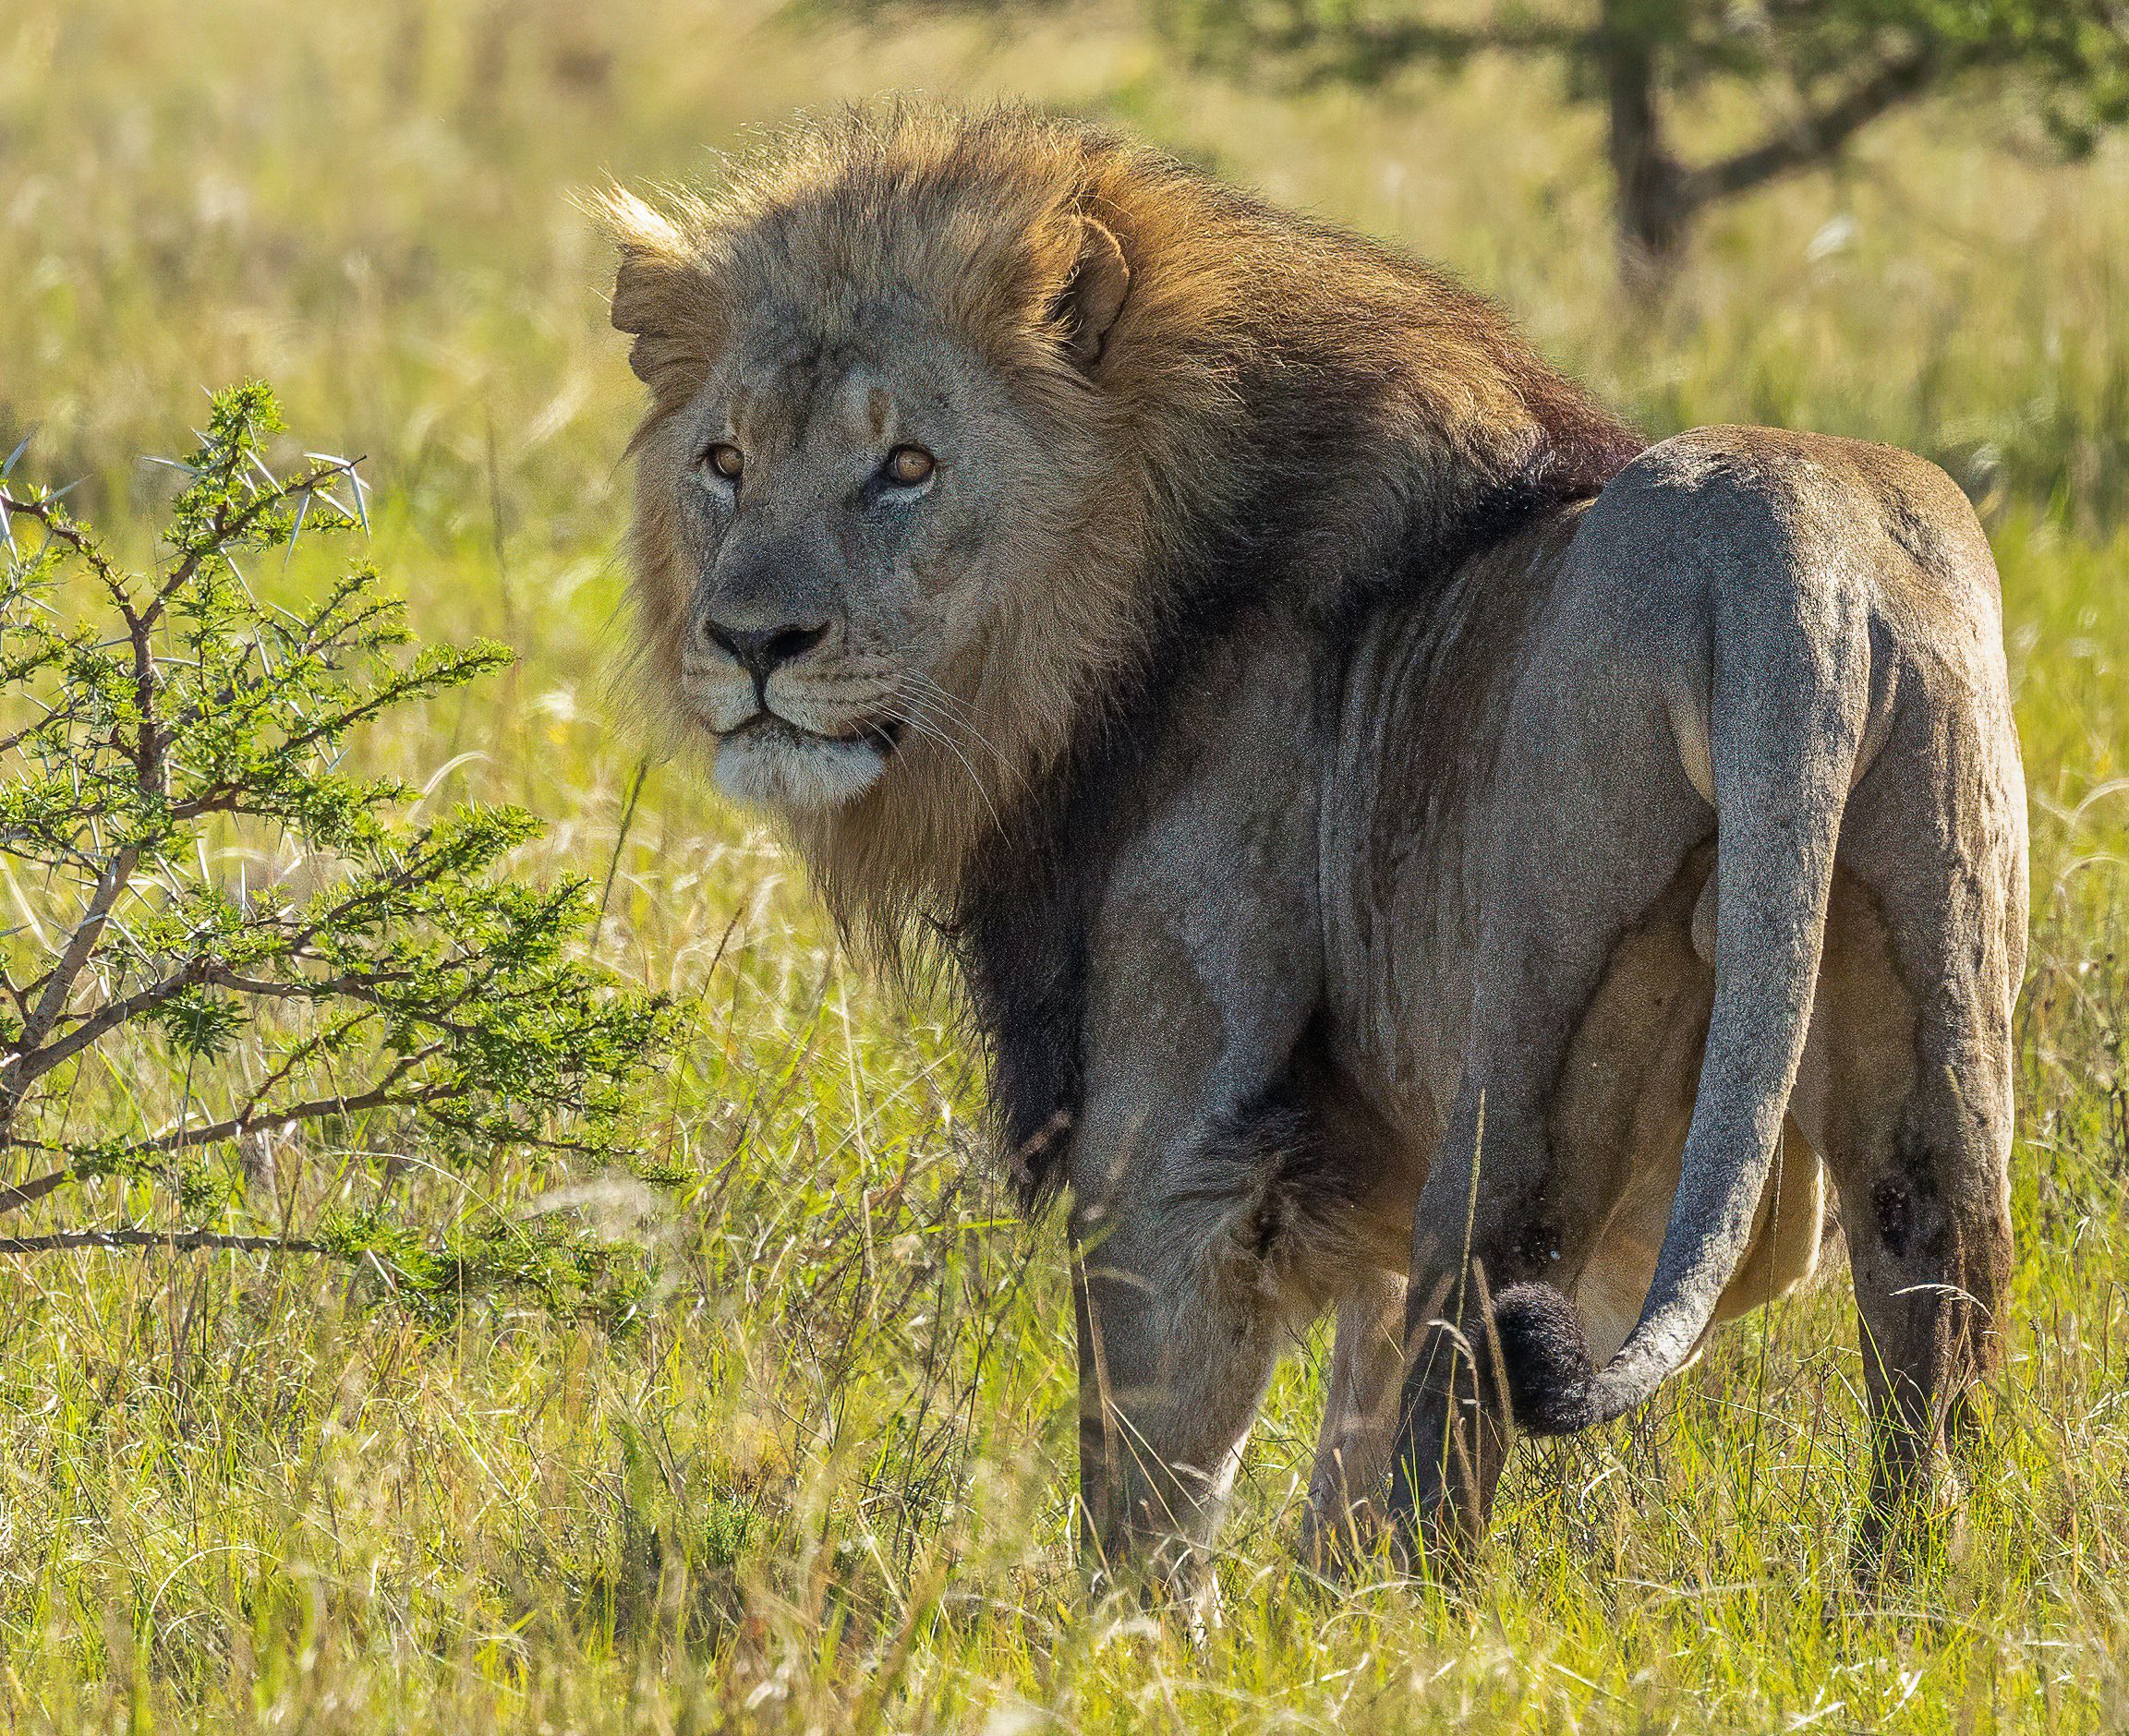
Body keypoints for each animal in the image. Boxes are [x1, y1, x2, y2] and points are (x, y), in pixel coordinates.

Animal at [598, 104, 2027, 1589]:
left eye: (906, 468)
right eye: (724, 463)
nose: (751, 642)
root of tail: (1790, 559)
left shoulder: (1173, 1149)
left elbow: (1150, 1475)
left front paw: (1135, 1635)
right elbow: (1348, 1414)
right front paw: (1322, 1601)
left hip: (1538, 1026)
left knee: (1483, 1350)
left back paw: (1434, 1618)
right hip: (1931, 981)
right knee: (1936, 1288)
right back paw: (1903, 1593)